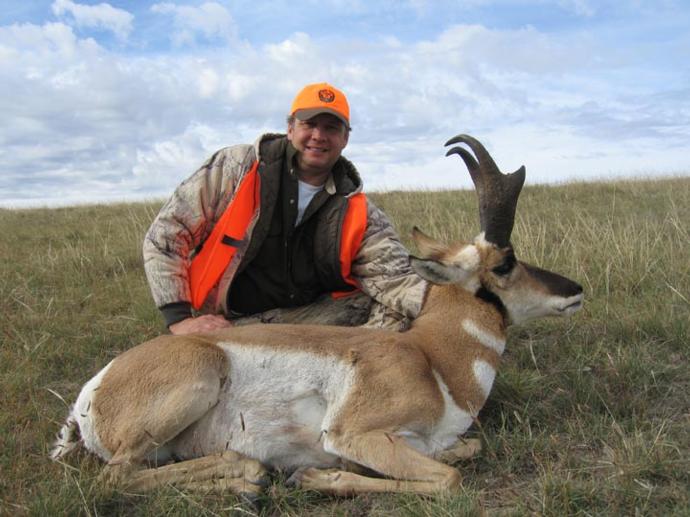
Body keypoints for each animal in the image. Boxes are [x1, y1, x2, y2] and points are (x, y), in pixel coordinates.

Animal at [51, 135, 583, 497]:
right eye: (506, 263)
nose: (575, 290)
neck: (433, 359)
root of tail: (92, 390)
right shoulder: (354, 434)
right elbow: (449, 478)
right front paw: (318, 475)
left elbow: (465, 451)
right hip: (199, 376)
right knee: (116, 478)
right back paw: (251, 476)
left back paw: (249, 476)